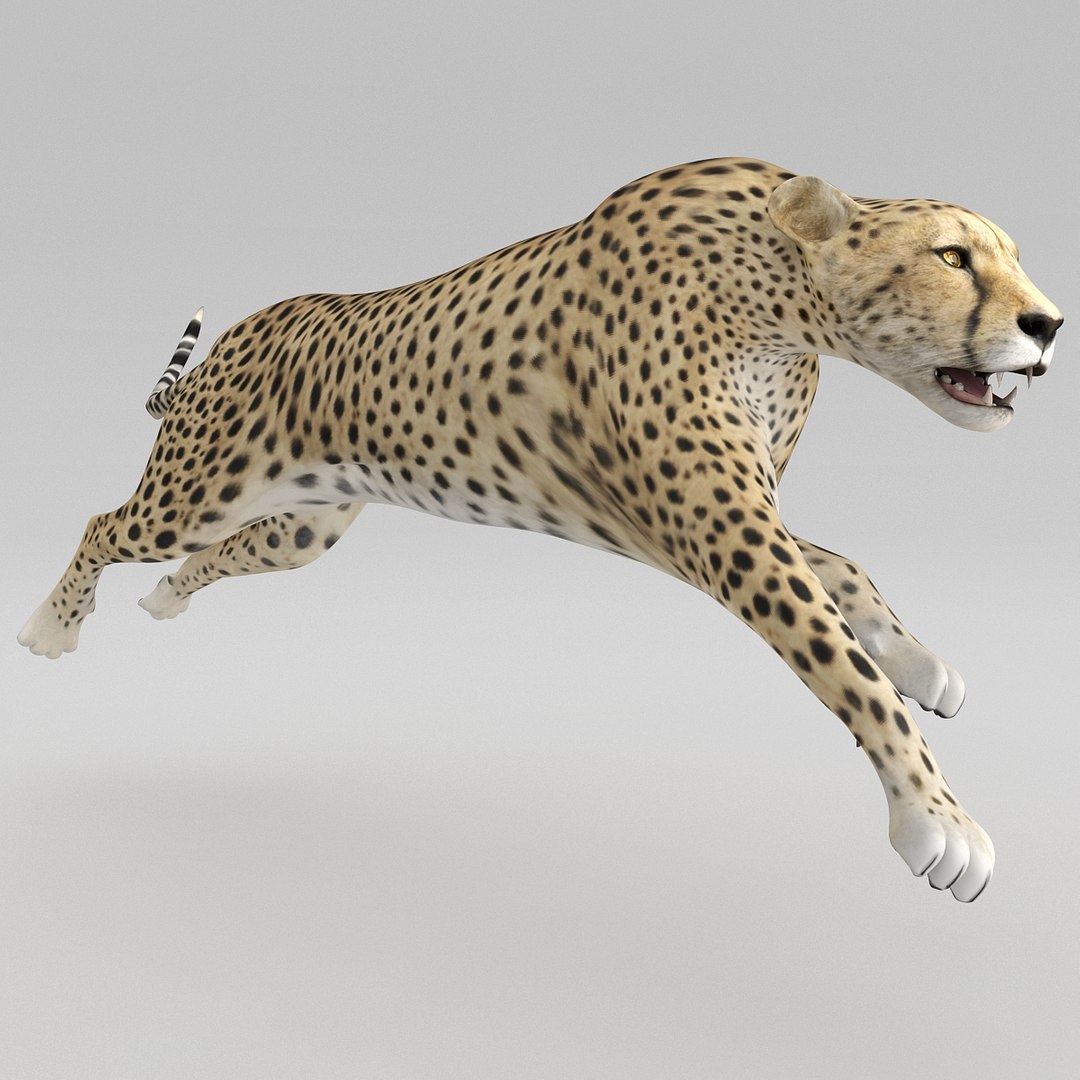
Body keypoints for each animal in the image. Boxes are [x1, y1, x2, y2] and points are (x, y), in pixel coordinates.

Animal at [18, 157, 1063, 901]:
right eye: (954, 256)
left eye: (1006, 255)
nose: (1049, 325)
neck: (780, 295)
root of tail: (249, 324)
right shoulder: (723, 530)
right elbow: (841, 658)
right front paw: (939, 821)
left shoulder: (717, 520)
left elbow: (849, 570)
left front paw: (921, 663)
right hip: (200, 487)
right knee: (105, 521)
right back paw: (49, 628)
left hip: (301, 530)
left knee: (210, 557)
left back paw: (164, 598)